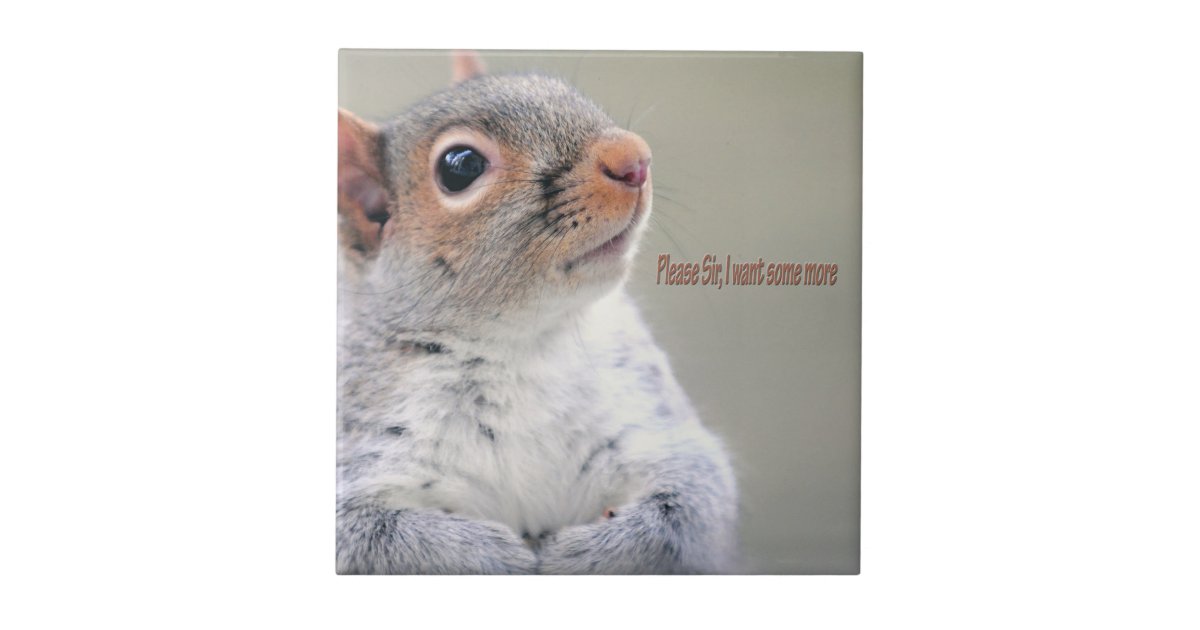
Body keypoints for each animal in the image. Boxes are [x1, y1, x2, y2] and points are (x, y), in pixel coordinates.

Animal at [337, 51, 738, 574]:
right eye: (460, 166)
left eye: (558, 87)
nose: (634, 158)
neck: (521, 344)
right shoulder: (359, 455)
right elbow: (372, 540)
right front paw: (490, 557)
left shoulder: (654, 424)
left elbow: (693, 504)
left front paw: (586, 555)